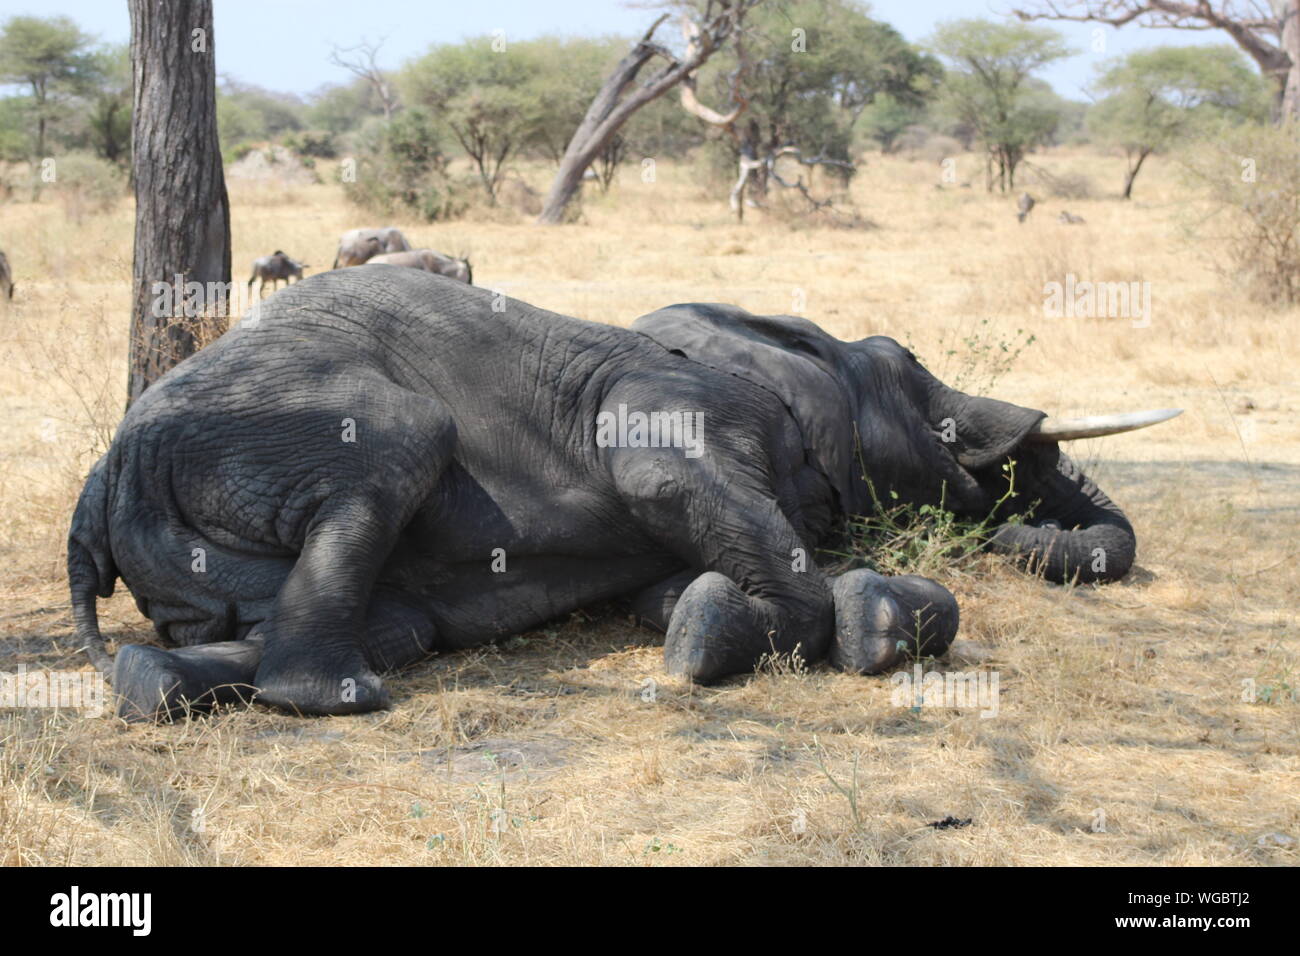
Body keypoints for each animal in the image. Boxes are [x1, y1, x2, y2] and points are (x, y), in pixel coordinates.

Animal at [67, 265, 1179, 720]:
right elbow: (669, 487)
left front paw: (721, 615)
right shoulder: (674, 405)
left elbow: (666, 582)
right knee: (397, 452)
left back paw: (155, 683)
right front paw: (724, 640)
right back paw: (330, 695)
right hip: (278, 429)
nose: (1019, 533)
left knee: (385, 622)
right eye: (906, 363)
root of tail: (100, 486)